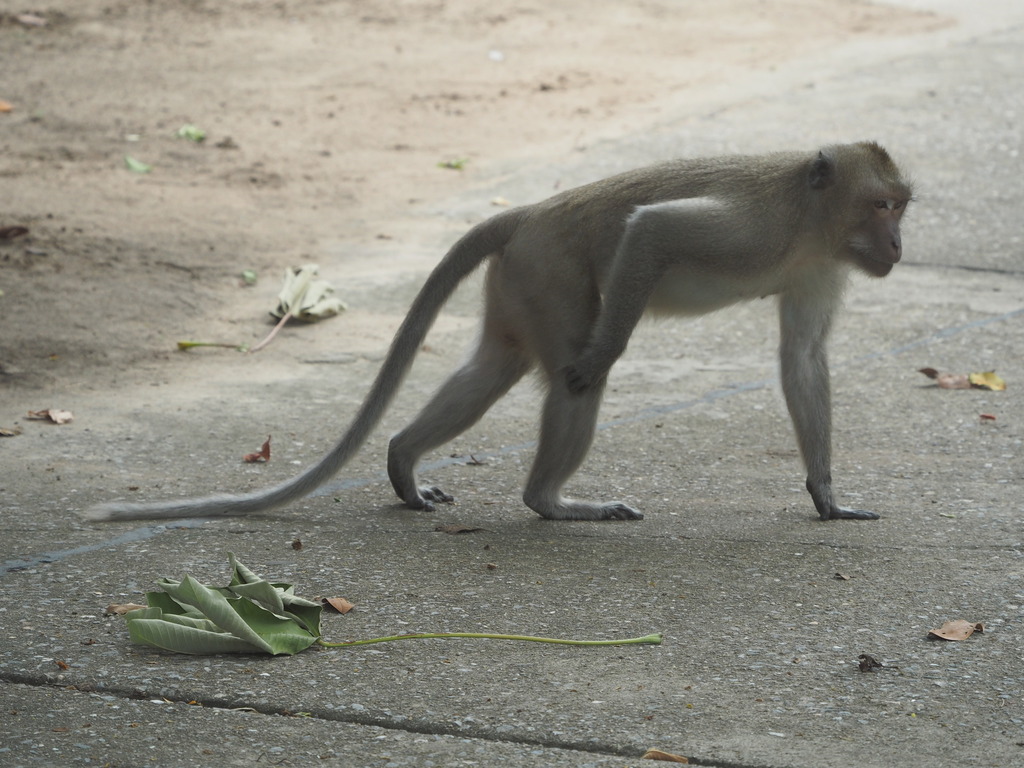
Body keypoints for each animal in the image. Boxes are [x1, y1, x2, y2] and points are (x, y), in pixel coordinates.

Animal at [85, 141, 912, 523]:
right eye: (882, 206)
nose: (901, 246)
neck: (812, 220)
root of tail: (529, 212)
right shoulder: (756, 229)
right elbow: (650, 231)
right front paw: (606, 350)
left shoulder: (819, 264)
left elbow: (803, 358)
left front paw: (827, 496)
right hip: (551, 268)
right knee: (575, 379)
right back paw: (552, 499)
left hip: (522, 280)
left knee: (494, 368)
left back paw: (403, 458)